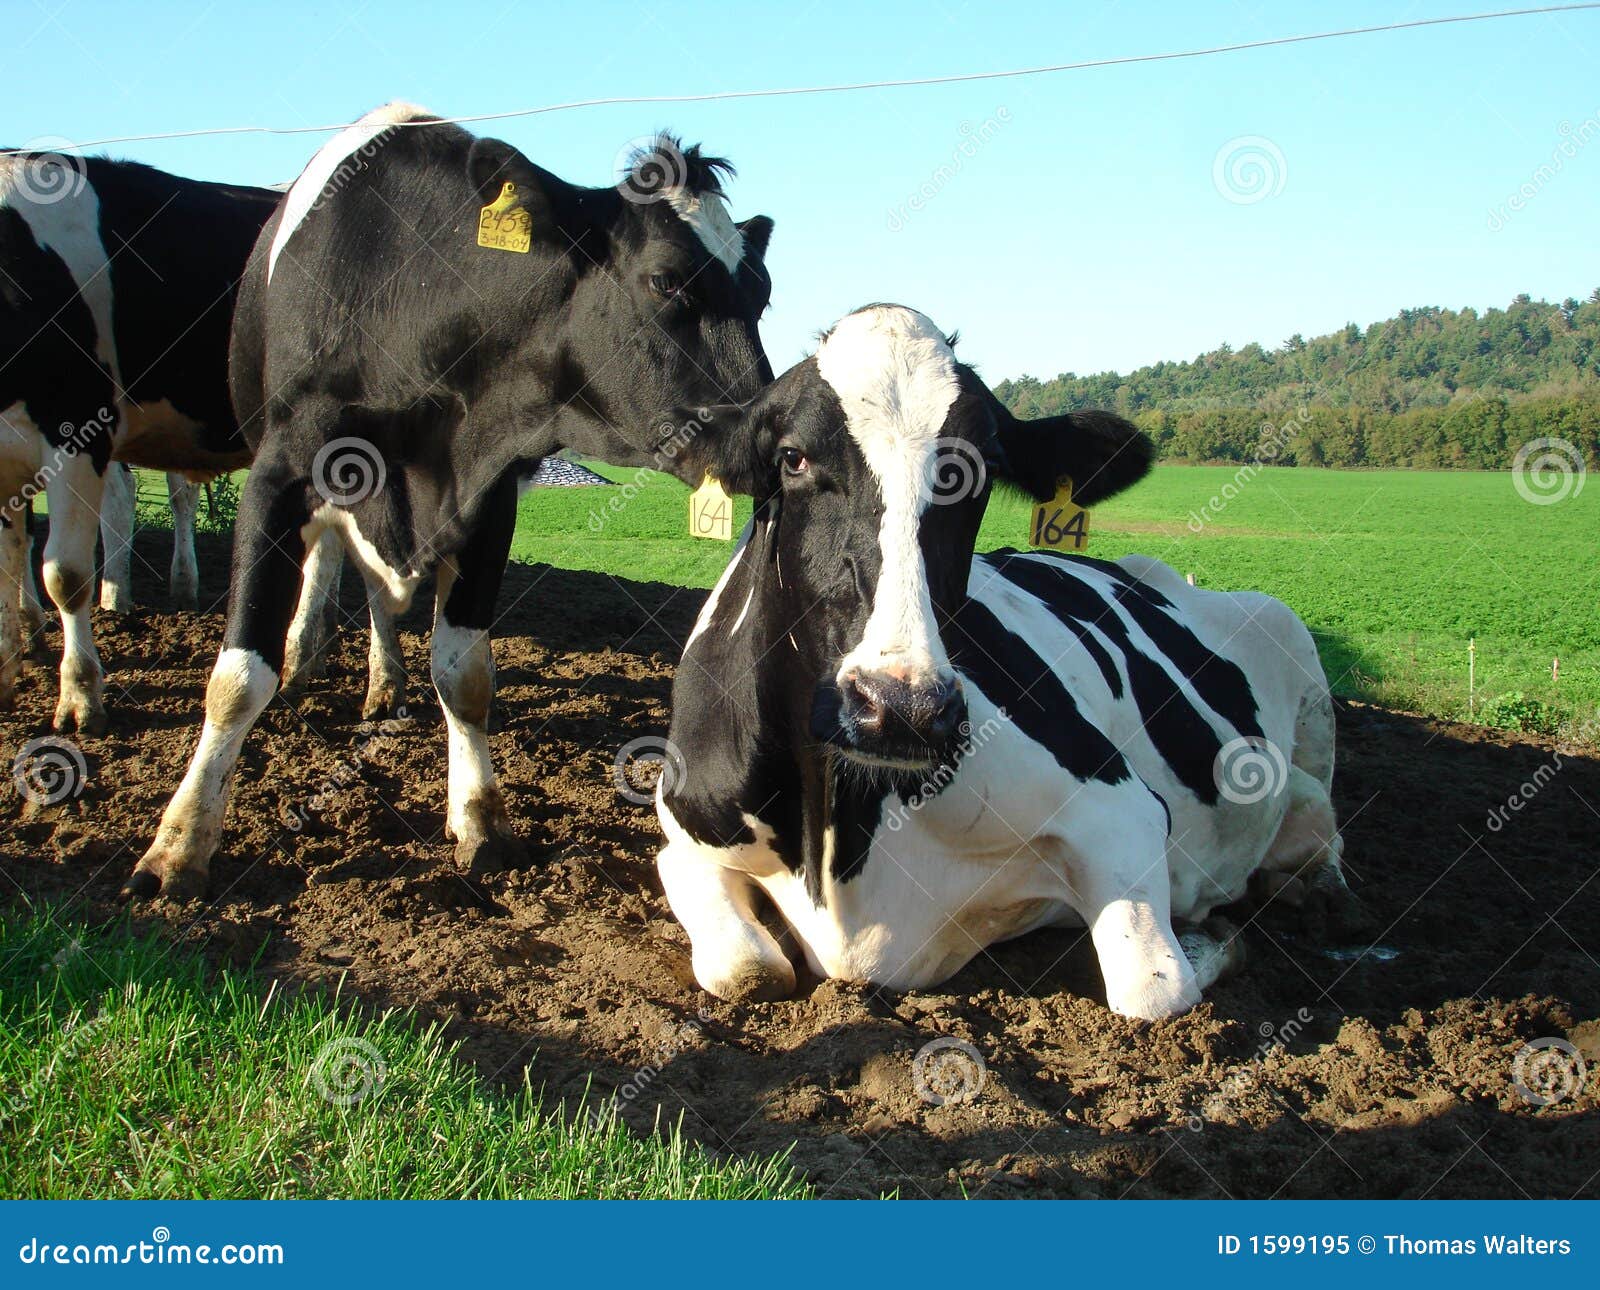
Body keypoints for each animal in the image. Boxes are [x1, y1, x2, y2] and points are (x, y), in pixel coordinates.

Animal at [122, 102, 775, 901]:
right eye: (667, 282)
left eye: (762, 293)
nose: (769, 428)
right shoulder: (277, 473)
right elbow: (238, 676)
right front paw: (179, 844)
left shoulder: (488, 496)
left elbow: (465, 675)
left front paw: (479, 821)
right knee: (328, 559)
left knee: (377, 590)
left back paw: (382, 684)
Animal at [653, 304, 1358, 1021]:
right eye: (792, 457)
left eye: (983, 466)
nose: (901, 708)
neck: (835, 843)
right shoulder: (684, 835)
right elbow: (747, 971)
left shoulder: (1122, 810)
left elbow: (1153, 991)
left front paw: (1213, 936)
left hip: (1299, 653)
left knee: (1320, 822)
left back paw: (1315, 889)